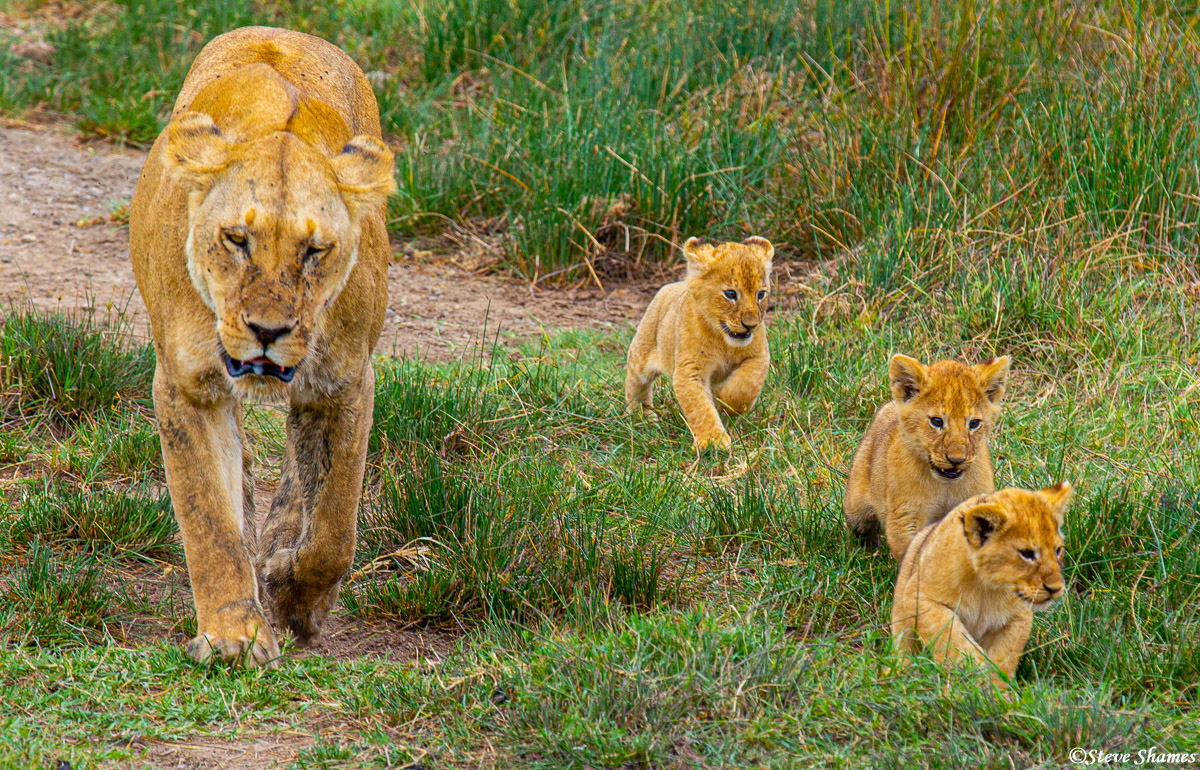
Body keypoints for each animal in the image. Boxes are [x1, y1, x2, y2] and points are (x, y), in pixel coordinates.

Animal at [130, 26, 396, 667]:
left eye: (315, 250)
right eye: (236, 239)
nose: (268, 332)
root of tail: (282, 31)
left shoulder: (346, 382)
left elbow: (334, 525)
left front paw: (295, 598)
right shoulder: (187, 387)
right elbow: (209, 519)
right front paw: (234, 634)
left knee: (301, 475)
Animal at [625, 236, 773, 451]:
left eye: (760, 294)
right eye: (730, 294)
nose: (750, 325)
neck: (725, 342)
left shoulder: (758, 357)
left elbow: (745, 387)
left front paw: (725, 403)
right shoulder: (690, 369)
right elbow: (700, 408)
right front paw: (713, 441)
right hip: (641, 356)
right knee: (636, 388)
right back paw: (641, 419)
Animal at [843, 354, 1011, 559]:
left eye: (974, 423)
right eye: (937, 421)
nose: (957, 460)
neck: (945, 486)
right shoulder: (906, 515)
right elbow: (912, 552)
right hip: (856, 506)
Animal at [891, 483, 1071, 686]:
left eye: (1058, 550)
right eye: (1026, 553)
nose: (1056, 589)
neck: (988, 587)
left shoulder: (1018, 617)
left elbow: (1004, 656)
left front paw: (997, 687)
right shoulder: (920, 597)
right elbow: (953, 639)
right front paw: (974, 676)